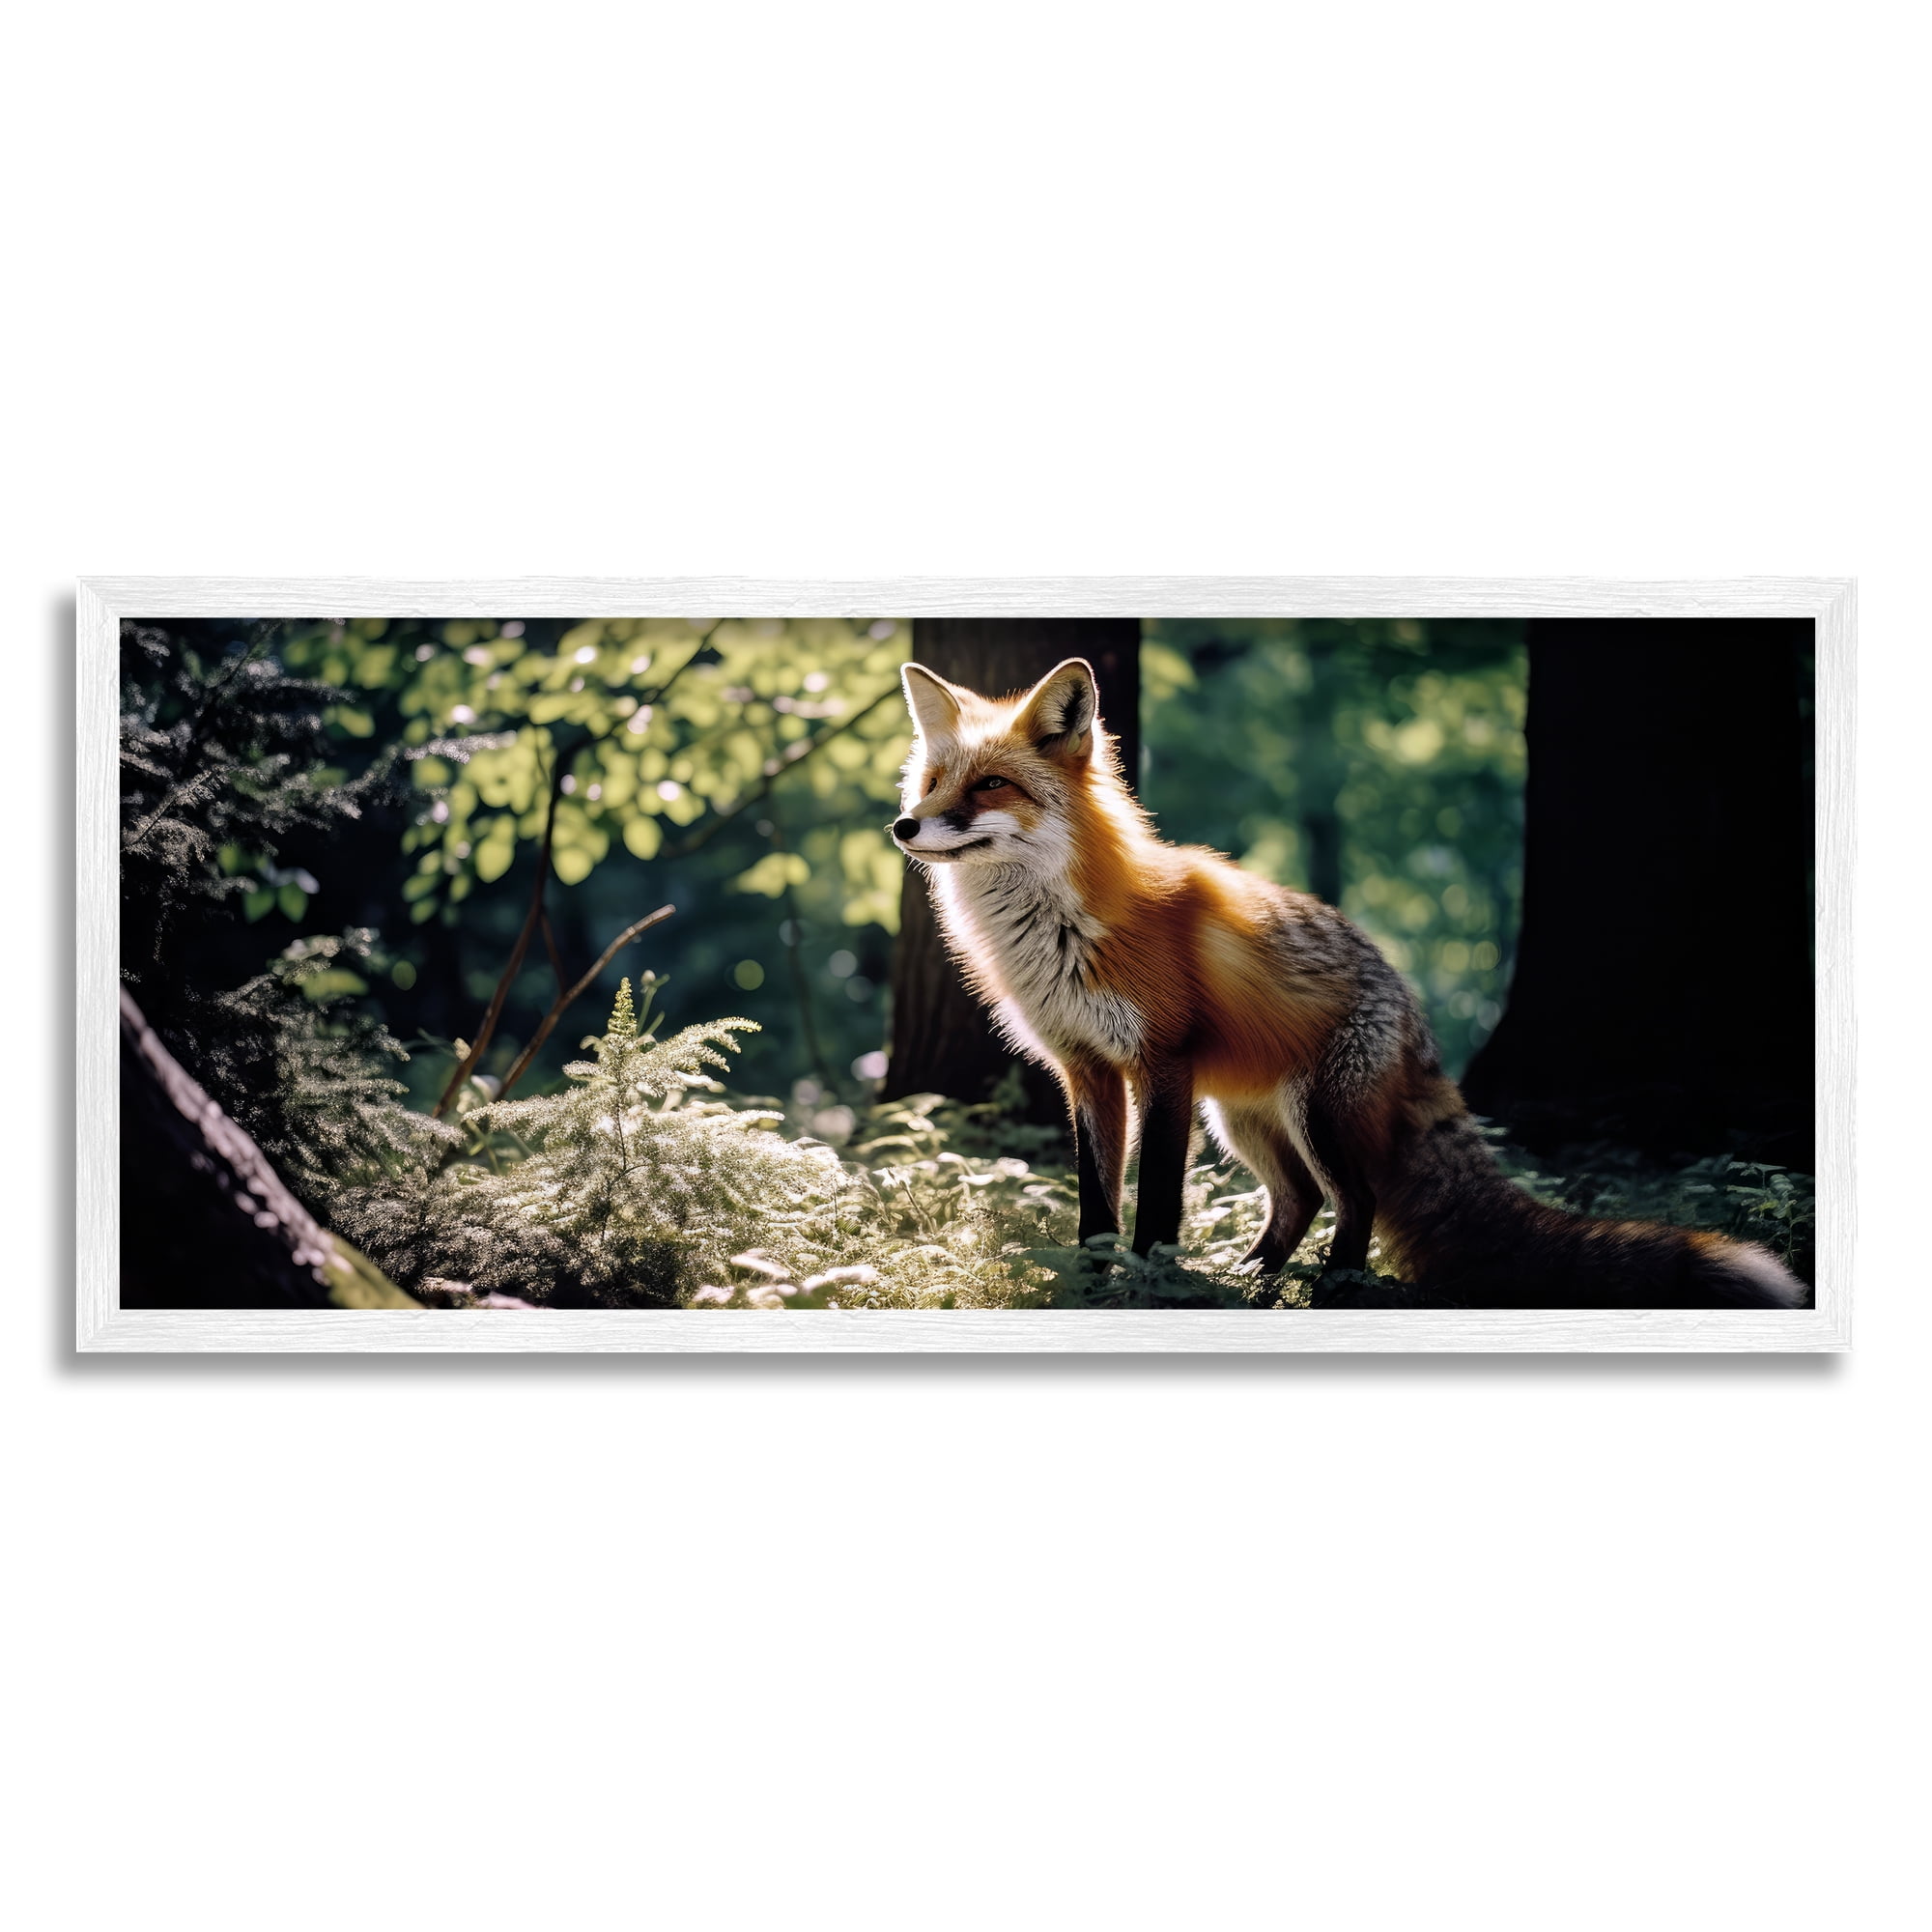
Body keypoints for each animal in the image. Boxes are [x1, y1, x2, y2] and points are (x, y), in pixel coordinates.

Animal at [889, 655, 1807, 1309]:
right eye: (931, 785)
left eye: (991, 785)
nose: (903, 825)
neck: (1061, 931)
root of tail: (1408, 1001)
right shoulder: (1087, 1072)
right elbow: (1095, 1211)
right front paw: (1089, 1291)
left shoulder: (1163, 1065)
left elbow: (1154, 1210)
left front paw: (1150, 1288)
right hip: (1245, 1118)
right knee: (1297, 1202)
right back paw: (1252, 1280)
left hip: (1314, 1114)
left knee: (1353, 1202)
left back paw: (1329, 1290)